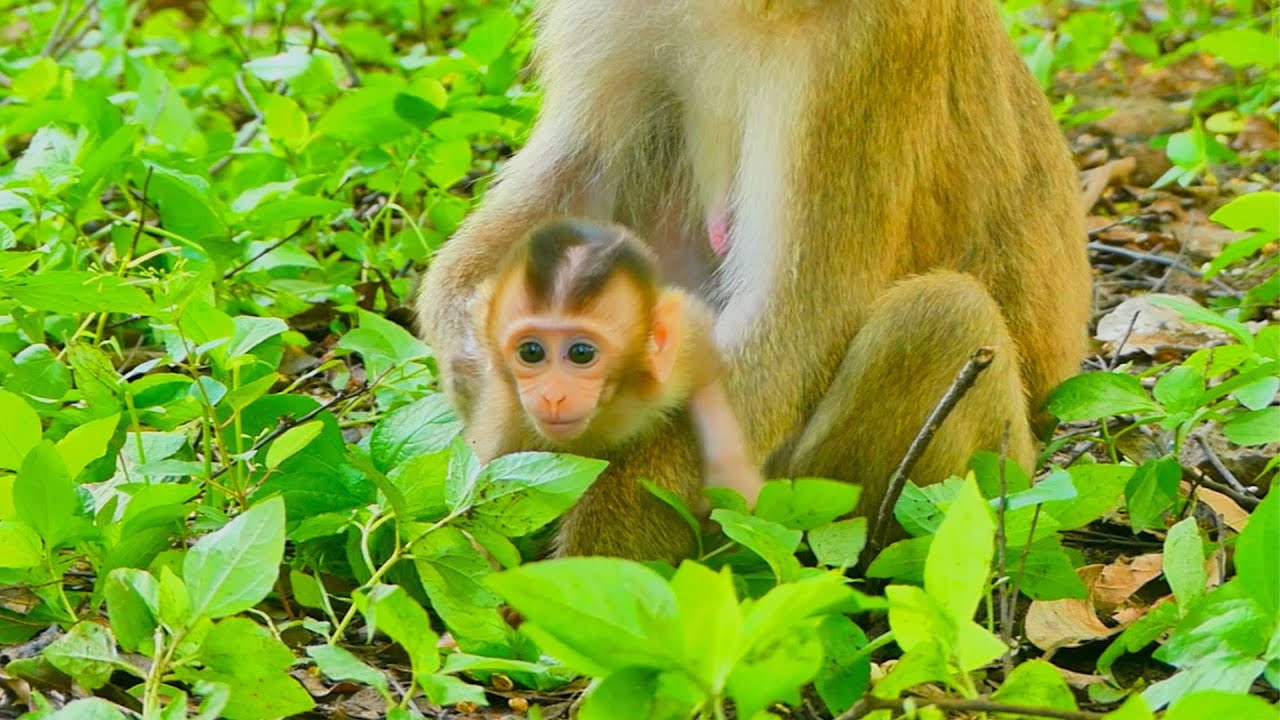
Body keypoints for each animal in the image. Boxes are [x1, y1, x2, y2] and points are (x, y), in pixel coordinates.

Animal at [468, 218, 764, 509]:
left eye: (581, 353)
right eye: (531, 352)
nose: (552, 397)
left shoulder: (675, 361)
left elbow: (702, 353)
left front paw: (732, 472)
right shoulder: (502, 428)